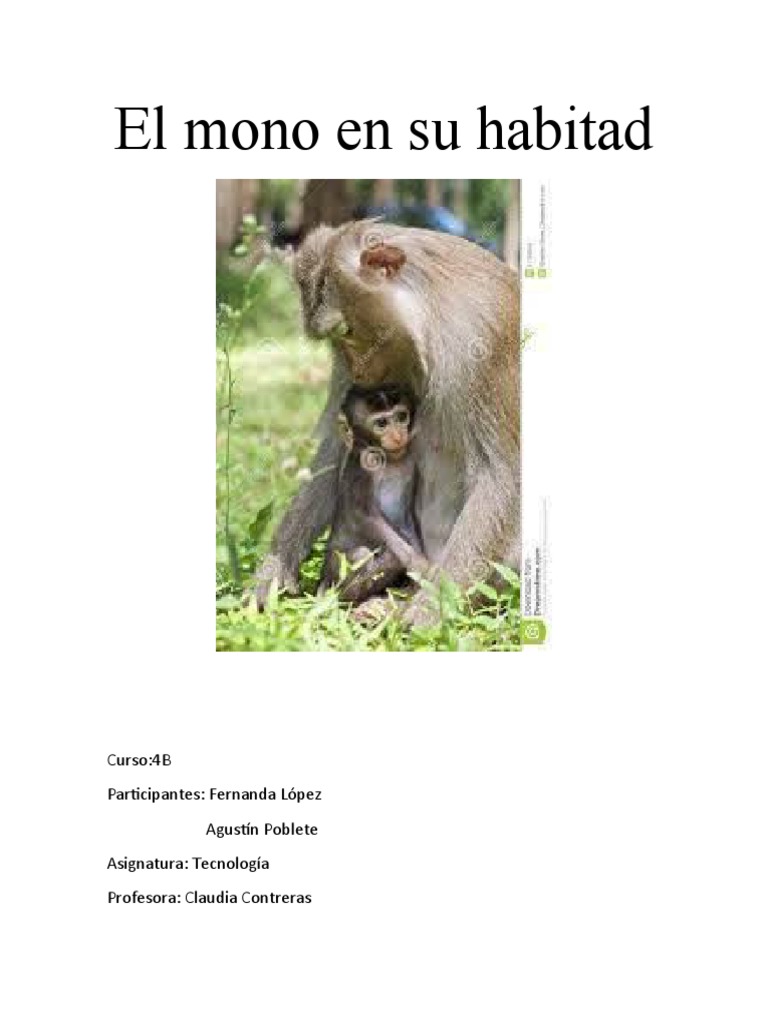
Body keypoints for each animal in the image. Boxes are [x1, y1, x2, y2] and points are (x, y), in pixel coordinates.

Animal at [320, 384, 428, 604]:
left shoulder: (411, 460)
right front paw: (417, 563)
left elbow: (407, 519)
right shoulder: (362, 469)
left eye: (401, 417)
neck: (388, 459)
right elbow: (365, 517)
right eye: (381, 423)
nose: (398, 435)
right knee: (360, 553)